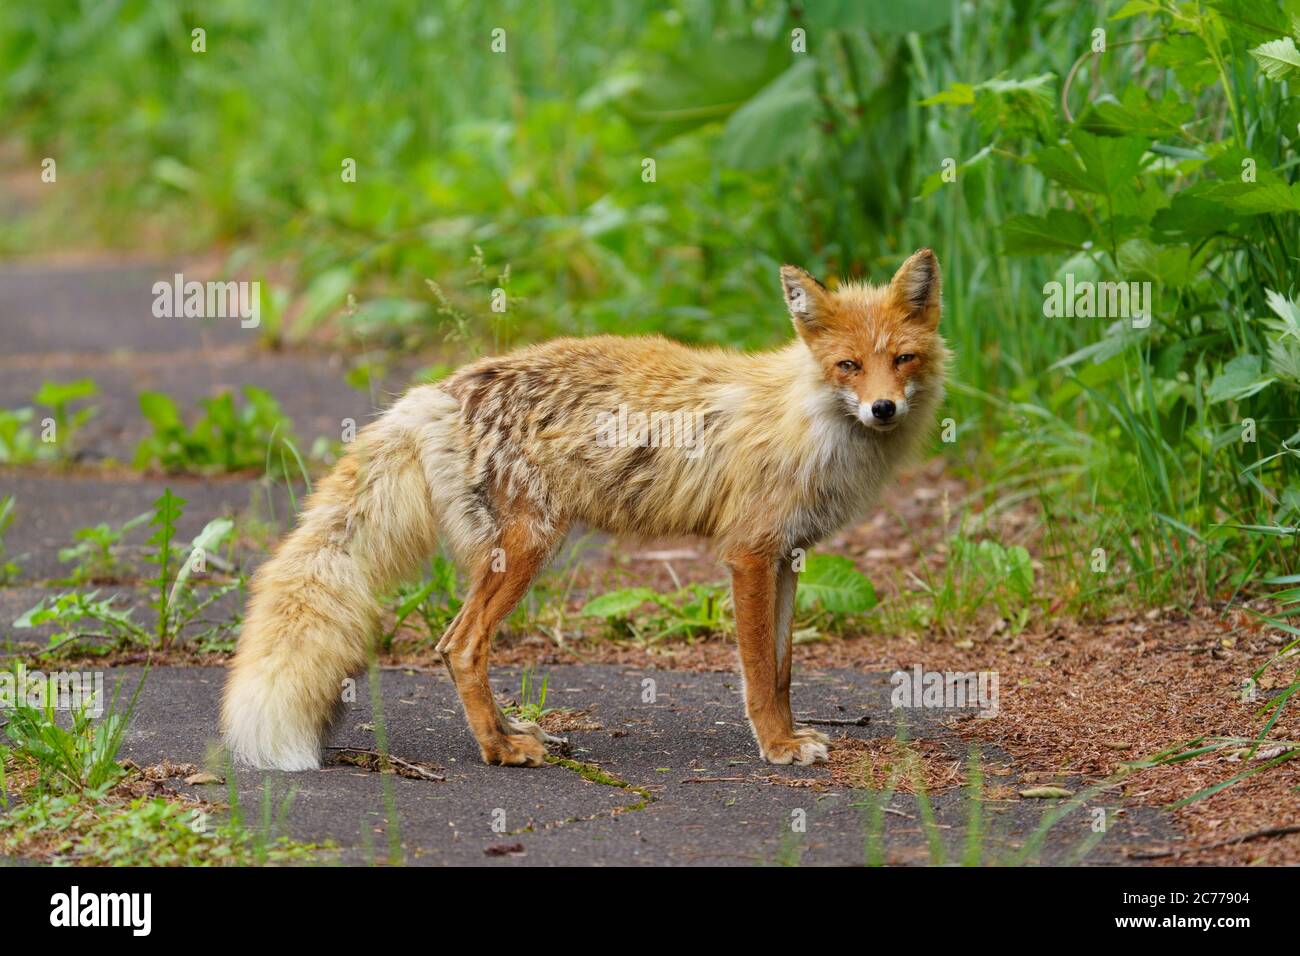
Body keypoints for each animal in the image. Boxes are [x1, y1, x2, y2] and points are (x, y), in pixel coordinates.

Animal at [221, 248, 949, 771]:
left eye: (902, 359)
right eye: (848, 365)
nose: (883, 408)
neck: (809, 422)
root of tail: (442, 389)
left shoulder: (790, 556)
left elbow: (785, 671)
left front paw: (794, 735)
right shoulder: (747, 553)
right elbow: (758, 676)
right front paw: (776, 748)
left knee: (458, 646)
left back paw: (514, 731)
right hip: (527, 548)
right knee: (460, 646)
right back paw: (499, 750)